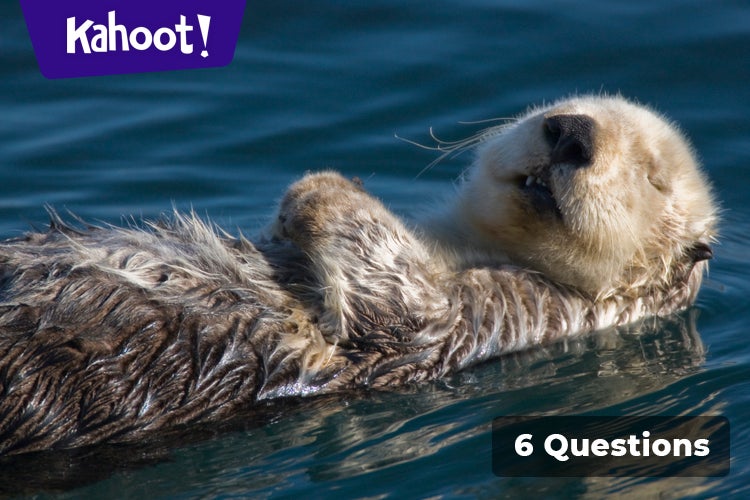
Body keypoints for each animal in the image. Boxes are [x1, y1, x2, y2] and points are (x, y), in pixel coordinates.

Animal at [0, 95, 716, 455]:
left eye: (653, 176)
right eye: (563, 107)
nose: (570, 132)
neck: (465, 244)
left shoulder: (509, 312)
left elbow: (402, 308)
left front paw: (319, 188)